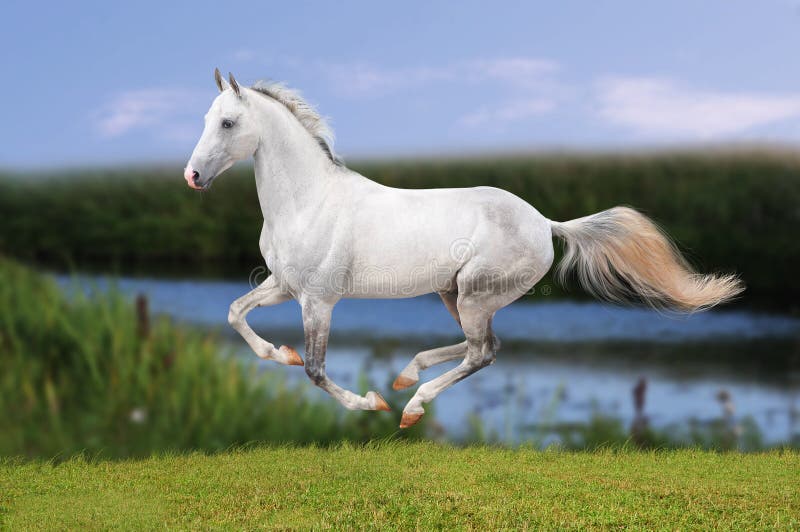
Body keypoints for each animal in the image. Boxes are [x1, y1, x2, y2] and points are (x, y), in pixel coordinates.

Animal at [184, 69, 744, 428]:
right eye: (206, 118)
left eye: (228, 123)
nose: (192, 177)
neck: (308, 201)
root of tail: (545, 222)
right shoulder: (284, 287)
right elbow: (235, 313)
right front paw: (279, 354)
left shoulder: (318, 301)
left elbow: (317, 372)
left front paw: (371, 405)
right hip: (454, 294)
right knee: (483, 347)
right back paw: (407, 377)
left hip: (476, 294)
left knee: (482, 351)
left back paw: (410, 406)